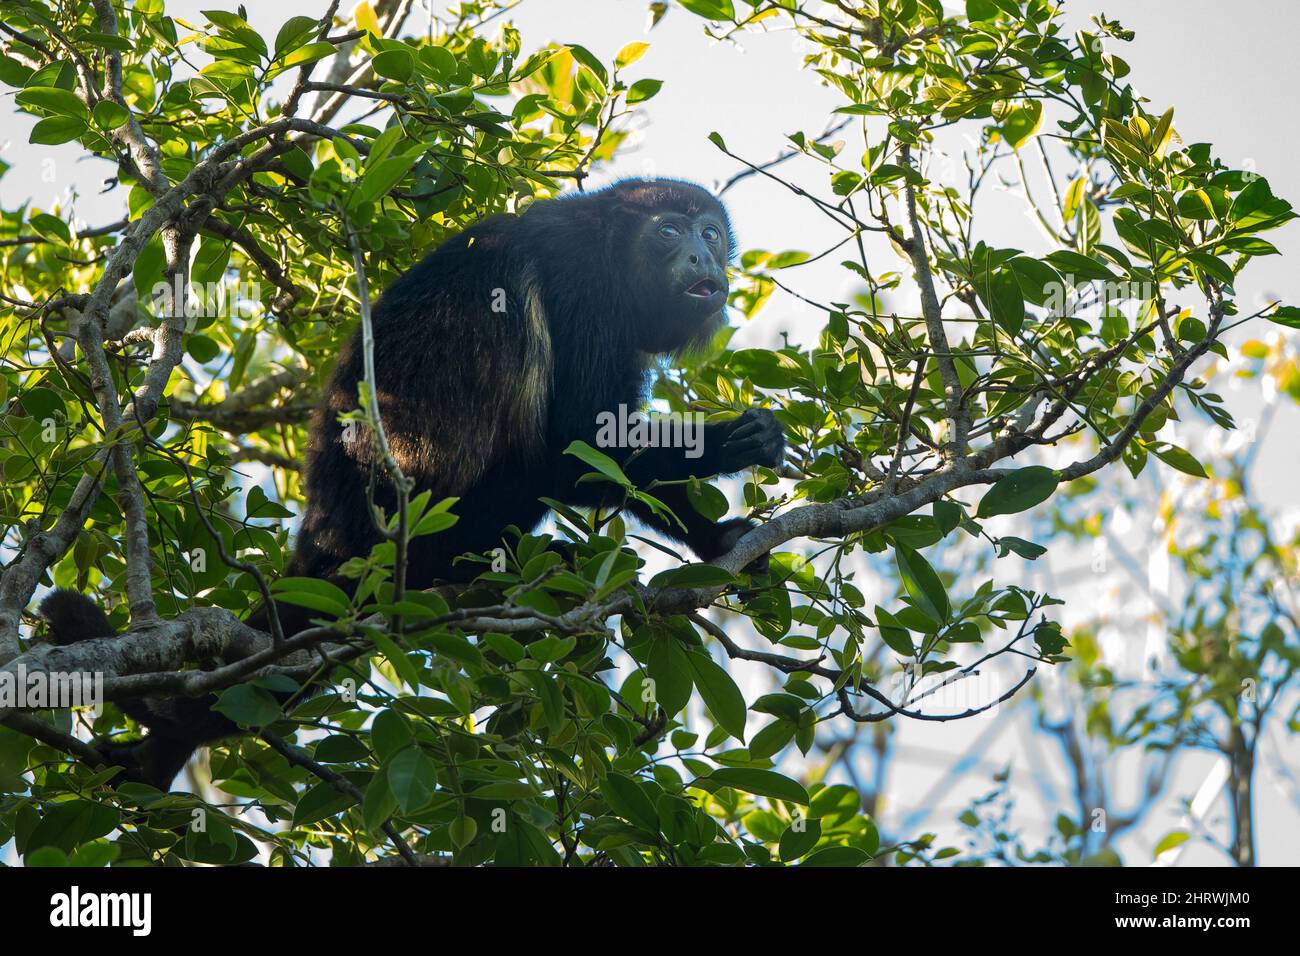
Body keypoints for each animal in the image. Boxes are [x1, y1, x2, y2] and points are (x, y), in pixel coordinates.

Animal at [38, 178, 785, 789]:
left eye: (711, 234)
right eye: (669, 231)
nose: (706, 260)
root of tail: (322, 540)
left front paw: (718, 540)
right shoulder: (584, 289)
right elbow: (577, 446)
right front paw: (729, 444)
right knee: (521, 461)